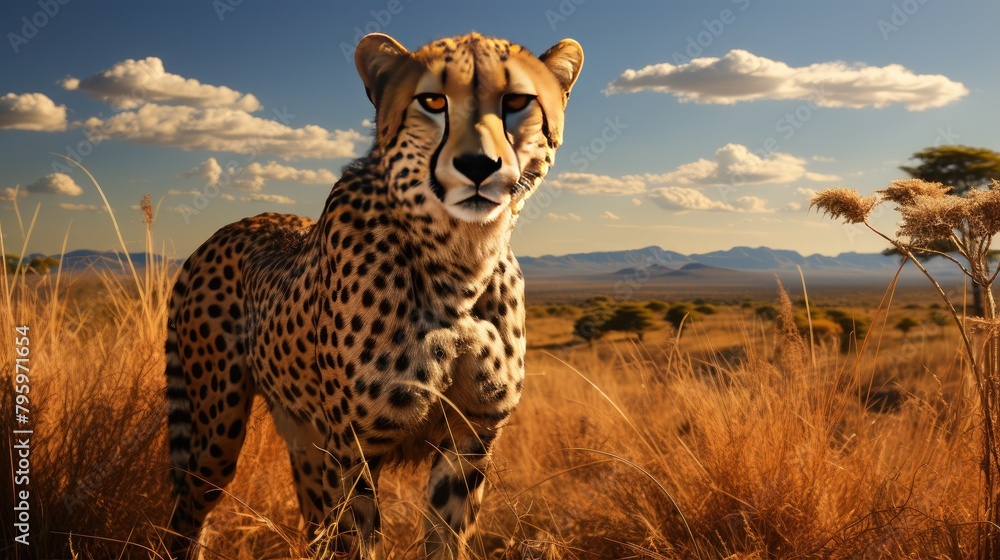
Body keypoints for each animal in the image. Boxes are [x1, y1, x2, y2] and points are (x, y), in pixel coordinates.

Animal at [165, 32, 582, 559]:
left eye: (516, 102)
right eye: (432, 102)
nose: (477, 165)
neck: (462, 262)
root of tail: (227, 229)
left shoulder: (470, 439)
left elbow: (446, 539)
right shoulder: (354, 449)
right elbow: (360, 538)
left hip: (303, 434)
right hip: (218, 436)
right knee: (188, 512)